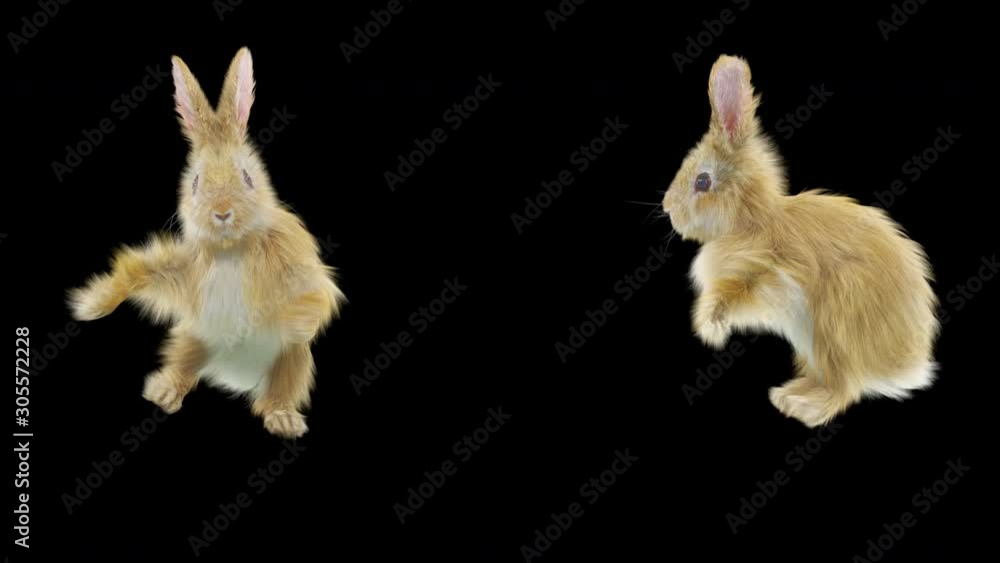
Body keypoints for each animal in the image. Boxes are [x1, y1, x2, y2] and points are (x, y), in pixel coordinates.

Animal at [67, 48, 345, 438]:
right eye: (196, 182)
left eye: (247, 177)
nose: (222, 212)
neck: (231, 249)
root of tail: (233, 377)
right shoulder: (185, 271)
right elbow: (138, 273)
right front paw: (92, 305)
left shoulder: (296, 260)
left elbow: (315, 295)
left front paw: (294, 317)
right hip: (194, 341)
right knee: (185, 367)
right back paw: (165, 391)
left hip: (292, 362)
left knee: (279, 391)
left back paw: (283, 419)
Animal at [661, 55, 939, 427]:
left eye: (702, 182)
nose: (667, 208)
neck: (752, 221)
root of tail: (908, 366)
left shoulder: (768, 272)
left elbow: (730, 296)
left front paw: (710, 329)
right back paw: (789, 393)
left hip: (836, 325)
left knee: (846, 388)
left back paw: (803, 407)